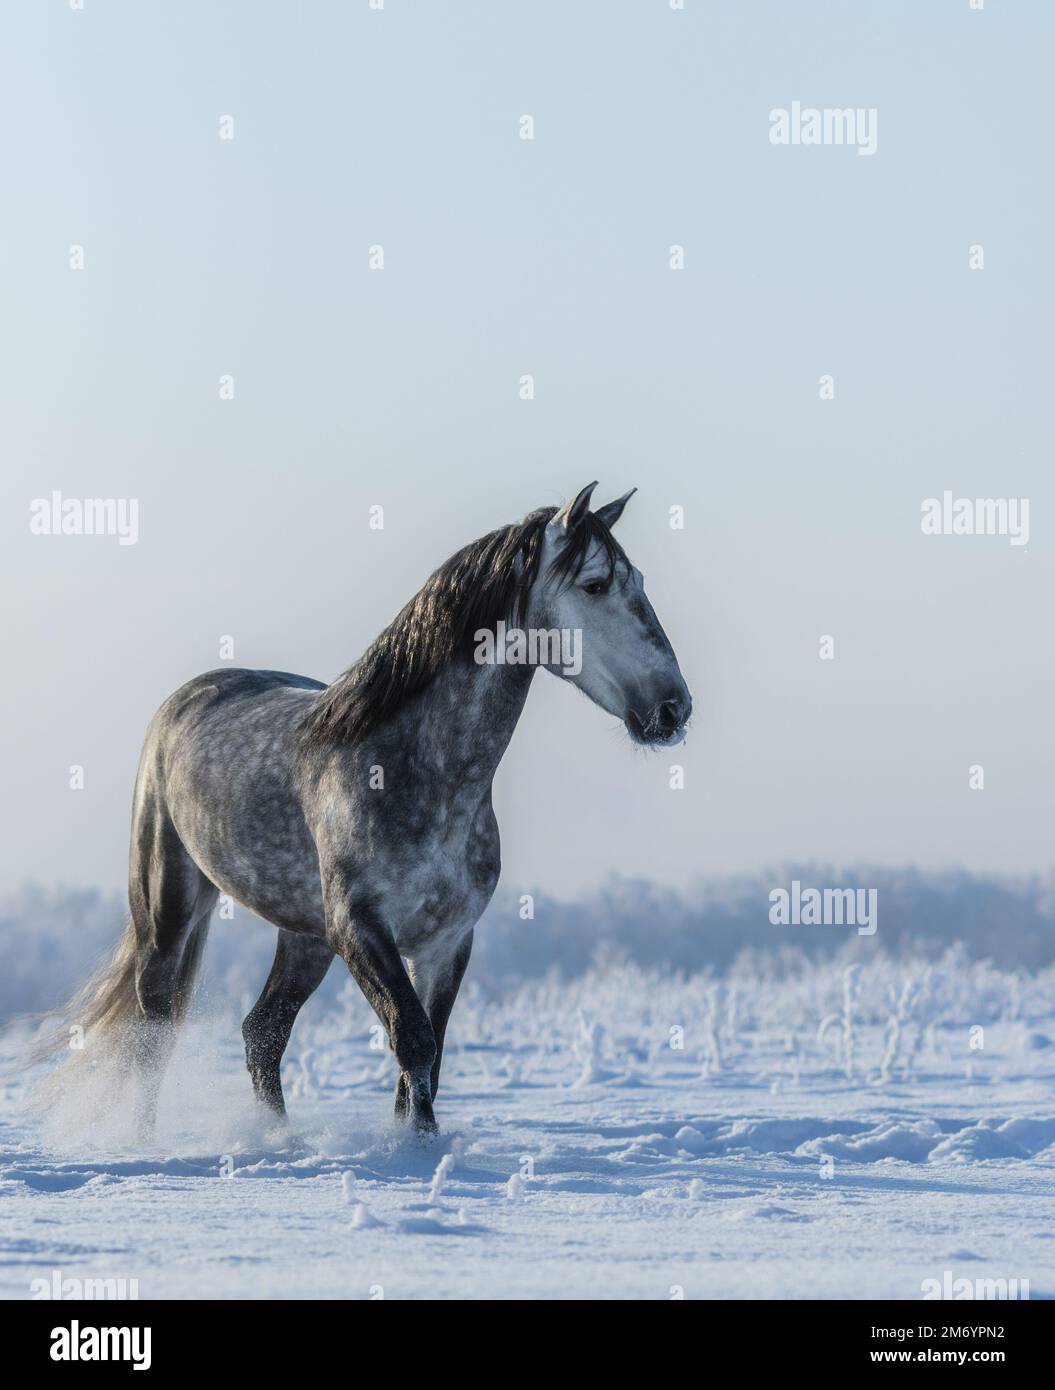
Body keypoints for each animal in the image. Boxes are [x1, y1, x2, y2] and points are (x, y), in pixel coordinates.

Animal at [53, 483, 692, 1135]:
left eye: (637, 580)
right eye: (595, 584)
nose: (673, 709)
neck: (421, 775)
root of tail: (185, 699)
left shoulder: (445, 942)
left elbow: (428, 1056)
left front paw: (417, 1142)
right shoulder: (361, 928)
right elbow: (411, 1040)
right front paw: (415, 1149)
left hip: (304, 936)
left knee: (263, 1033)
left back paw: (277, 1139)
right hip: (170, 909)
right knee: (154, 1028)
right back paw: (147, 1142)